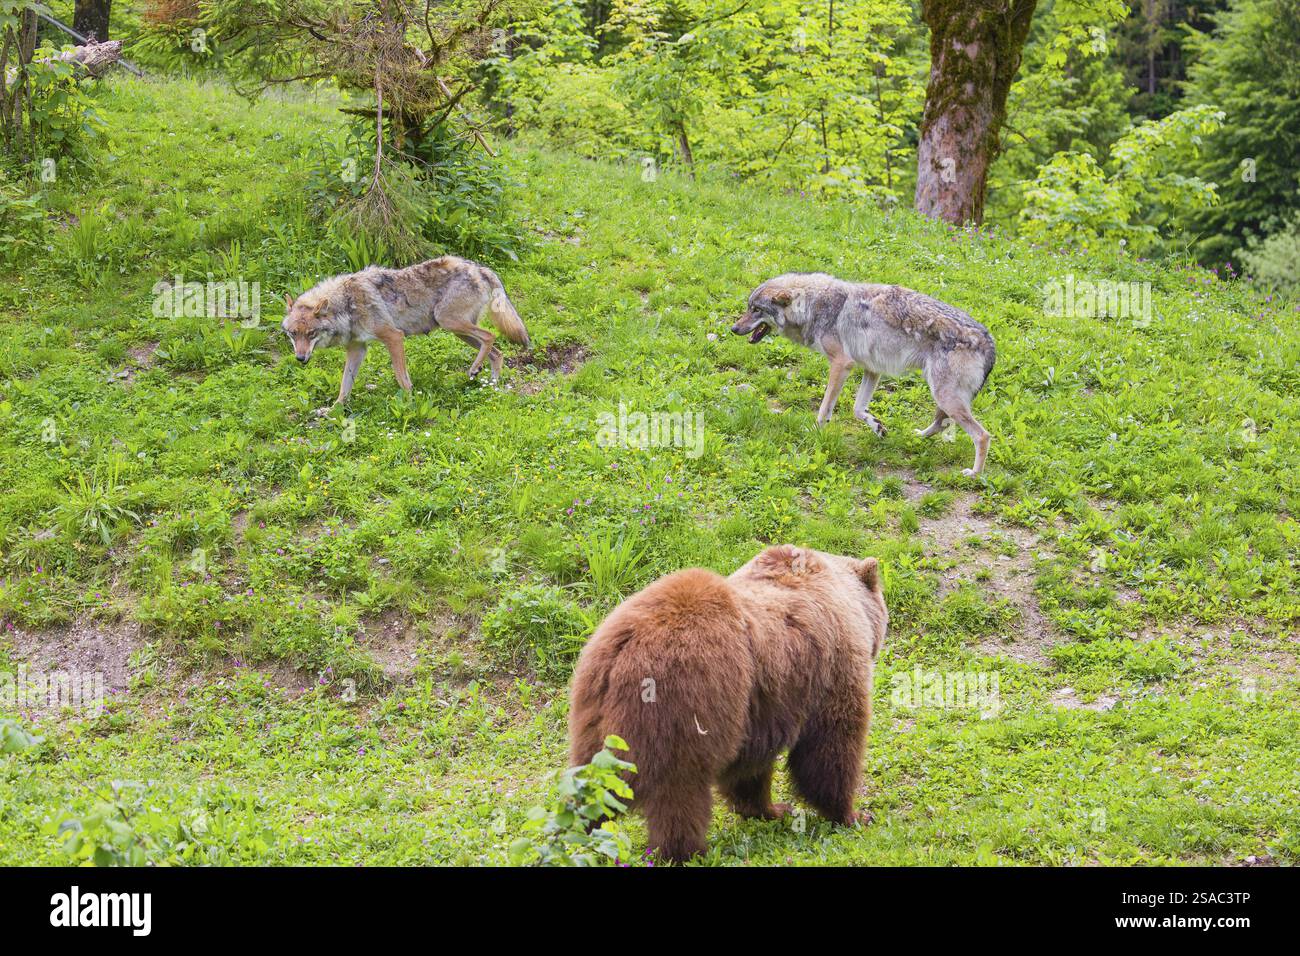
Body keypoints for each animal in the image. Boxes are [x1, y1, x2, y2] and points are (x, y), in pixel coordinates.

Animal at [282, 256, 530, 407]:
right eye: (293, 334)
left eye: (311, 334)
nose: (300, 358)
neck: (347, 302)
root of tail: (479, 267)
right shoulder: (356, 349)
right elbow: (345, 386)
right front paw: (335, 411)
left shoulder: (393, 337)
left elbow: (402, 378)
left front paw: (410, 403)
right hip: (458, 331)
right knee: (497, 353)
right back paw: (491, 386)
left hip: (450, 323)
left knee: (491, 336)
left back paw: (475, 369)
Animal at [569, 545, 888, 863]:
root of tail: (622, 652)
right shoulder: (832, 669)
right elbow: (831, 744)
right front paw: (853, 814)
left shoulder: (758, 709)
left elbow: (750, 769)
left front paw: (772, 809)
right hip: (679, 707)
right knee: (678, 792)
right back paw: (686, 851)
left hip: (593, 719)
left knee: (591, 785)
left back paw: (584, 835)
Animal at [731, 273, 996, 475]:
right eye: (748, 308)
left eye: (756, 310)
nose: (733, 329)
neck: (813, 305)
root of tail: (989, 342)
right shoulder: (872, 369)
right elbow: (858, 409)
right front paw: (877, 426)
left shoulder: (842, 365)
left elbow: (825, 409)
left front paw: (815, 432)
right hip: (942, 396)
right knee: (941, 425)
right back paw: (919, 436)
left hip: (944, 396)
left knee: (982, 436)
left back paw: (975, 474)